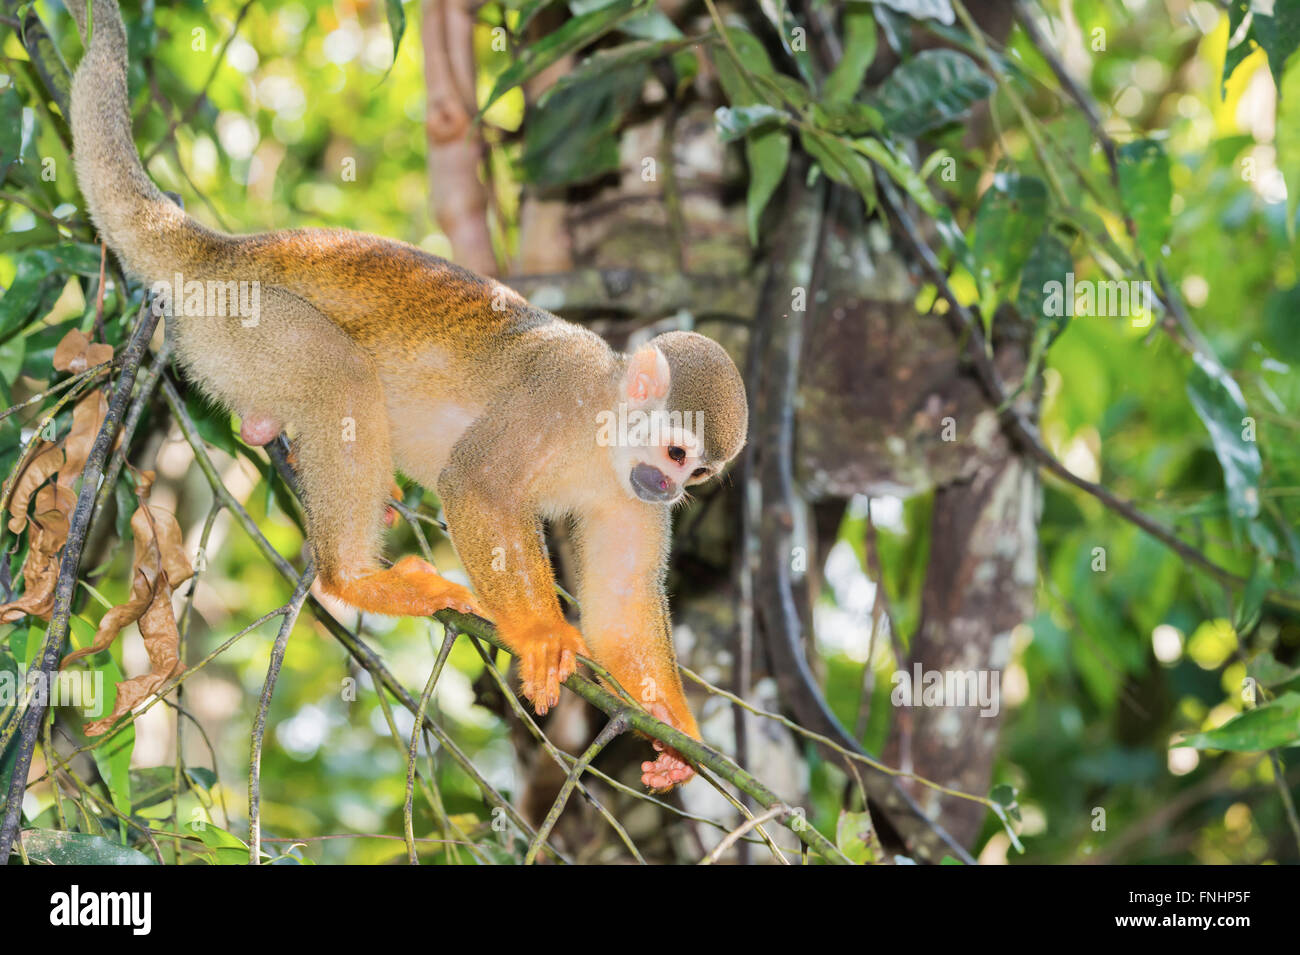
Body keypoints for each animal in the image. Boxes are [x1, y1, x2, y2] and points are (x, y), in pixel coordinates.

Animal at [66, 0, 747, 789]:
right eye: (677, 452)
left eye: (699, 471)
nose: (672, 489)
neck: (604, 432)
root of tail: (223, 253)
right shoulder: (561, 386)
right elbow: (476, 482)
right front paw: (540, 633)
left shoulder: (630, 497)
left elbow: (619, 605)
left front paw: (674, 731)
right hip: (246, 321)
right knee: (339, 374)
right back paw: (354, 578)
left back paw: (279, 444)